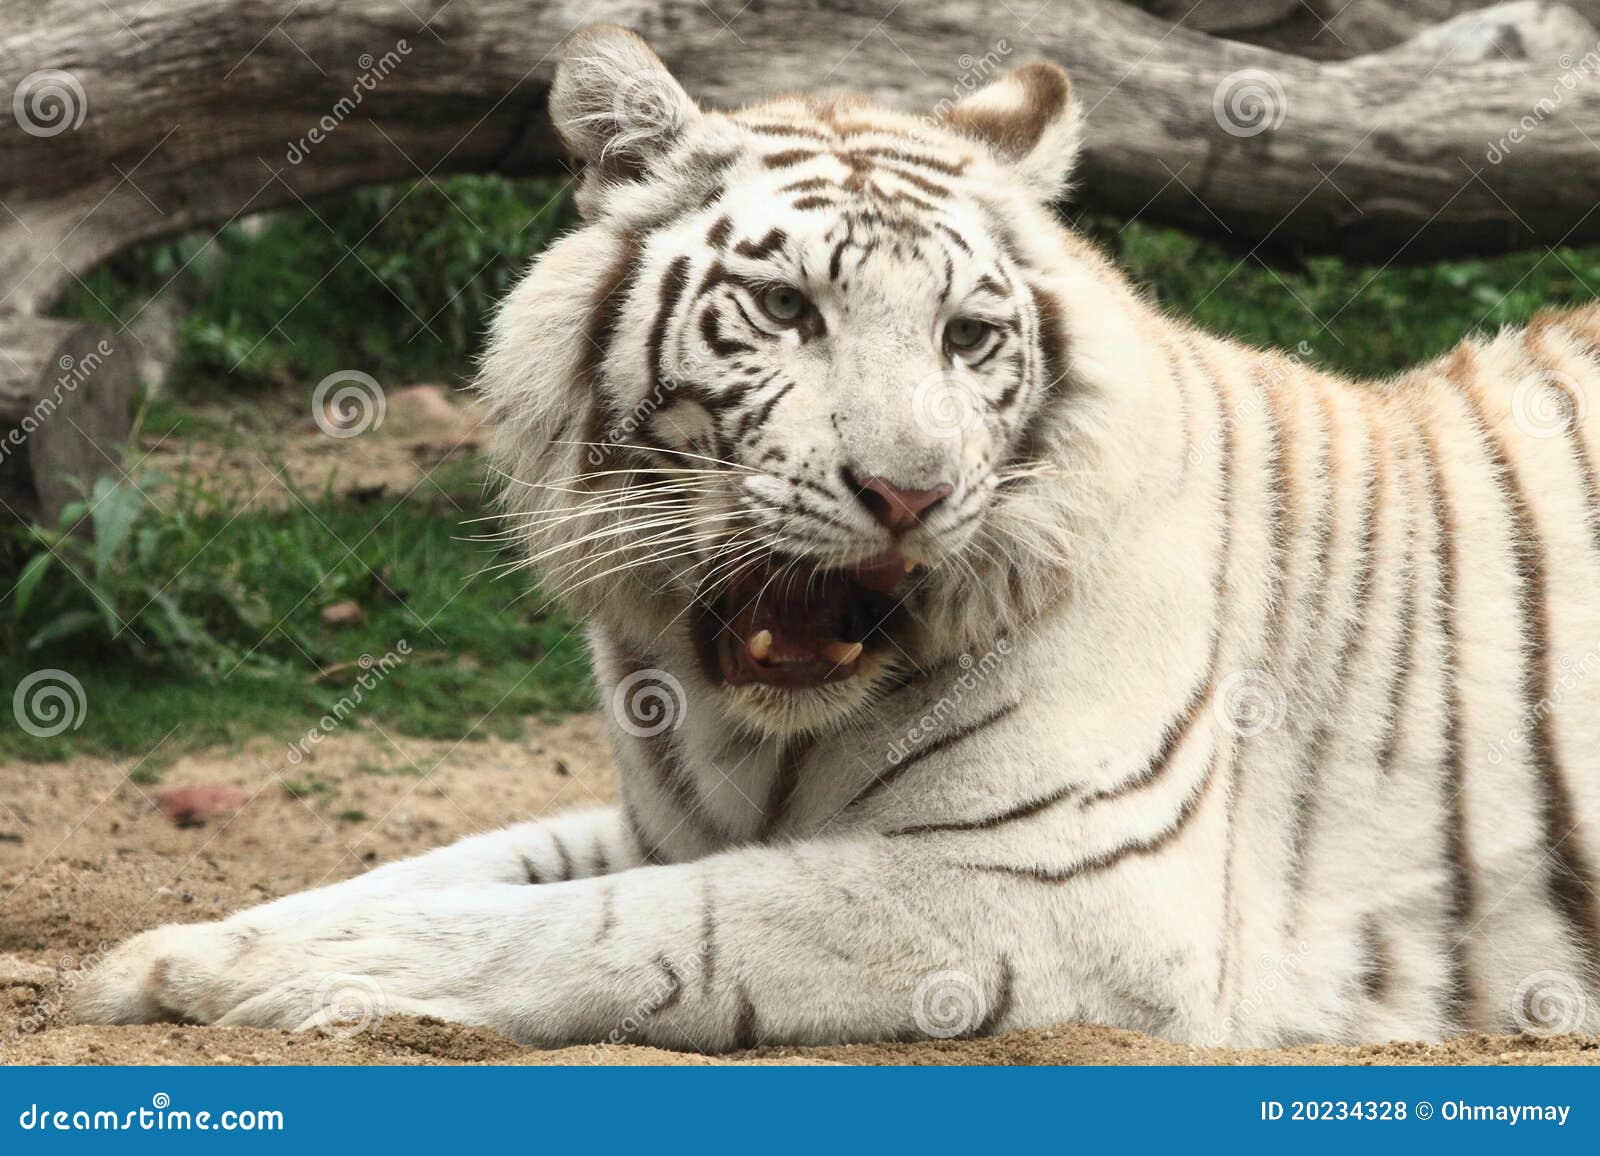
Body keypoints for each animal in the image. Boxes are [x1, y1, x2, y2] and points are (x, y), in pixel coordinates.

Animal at [75, 23, 1600, 1049]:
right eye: (785, 309)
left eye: (968, 336)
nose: (908, 493)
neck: (745, 731)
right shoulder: (655, 818)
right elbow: (454, 866)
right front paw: (170, 953)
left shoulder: (1066, 891)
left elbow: (633, 928)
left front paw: (297, 980)